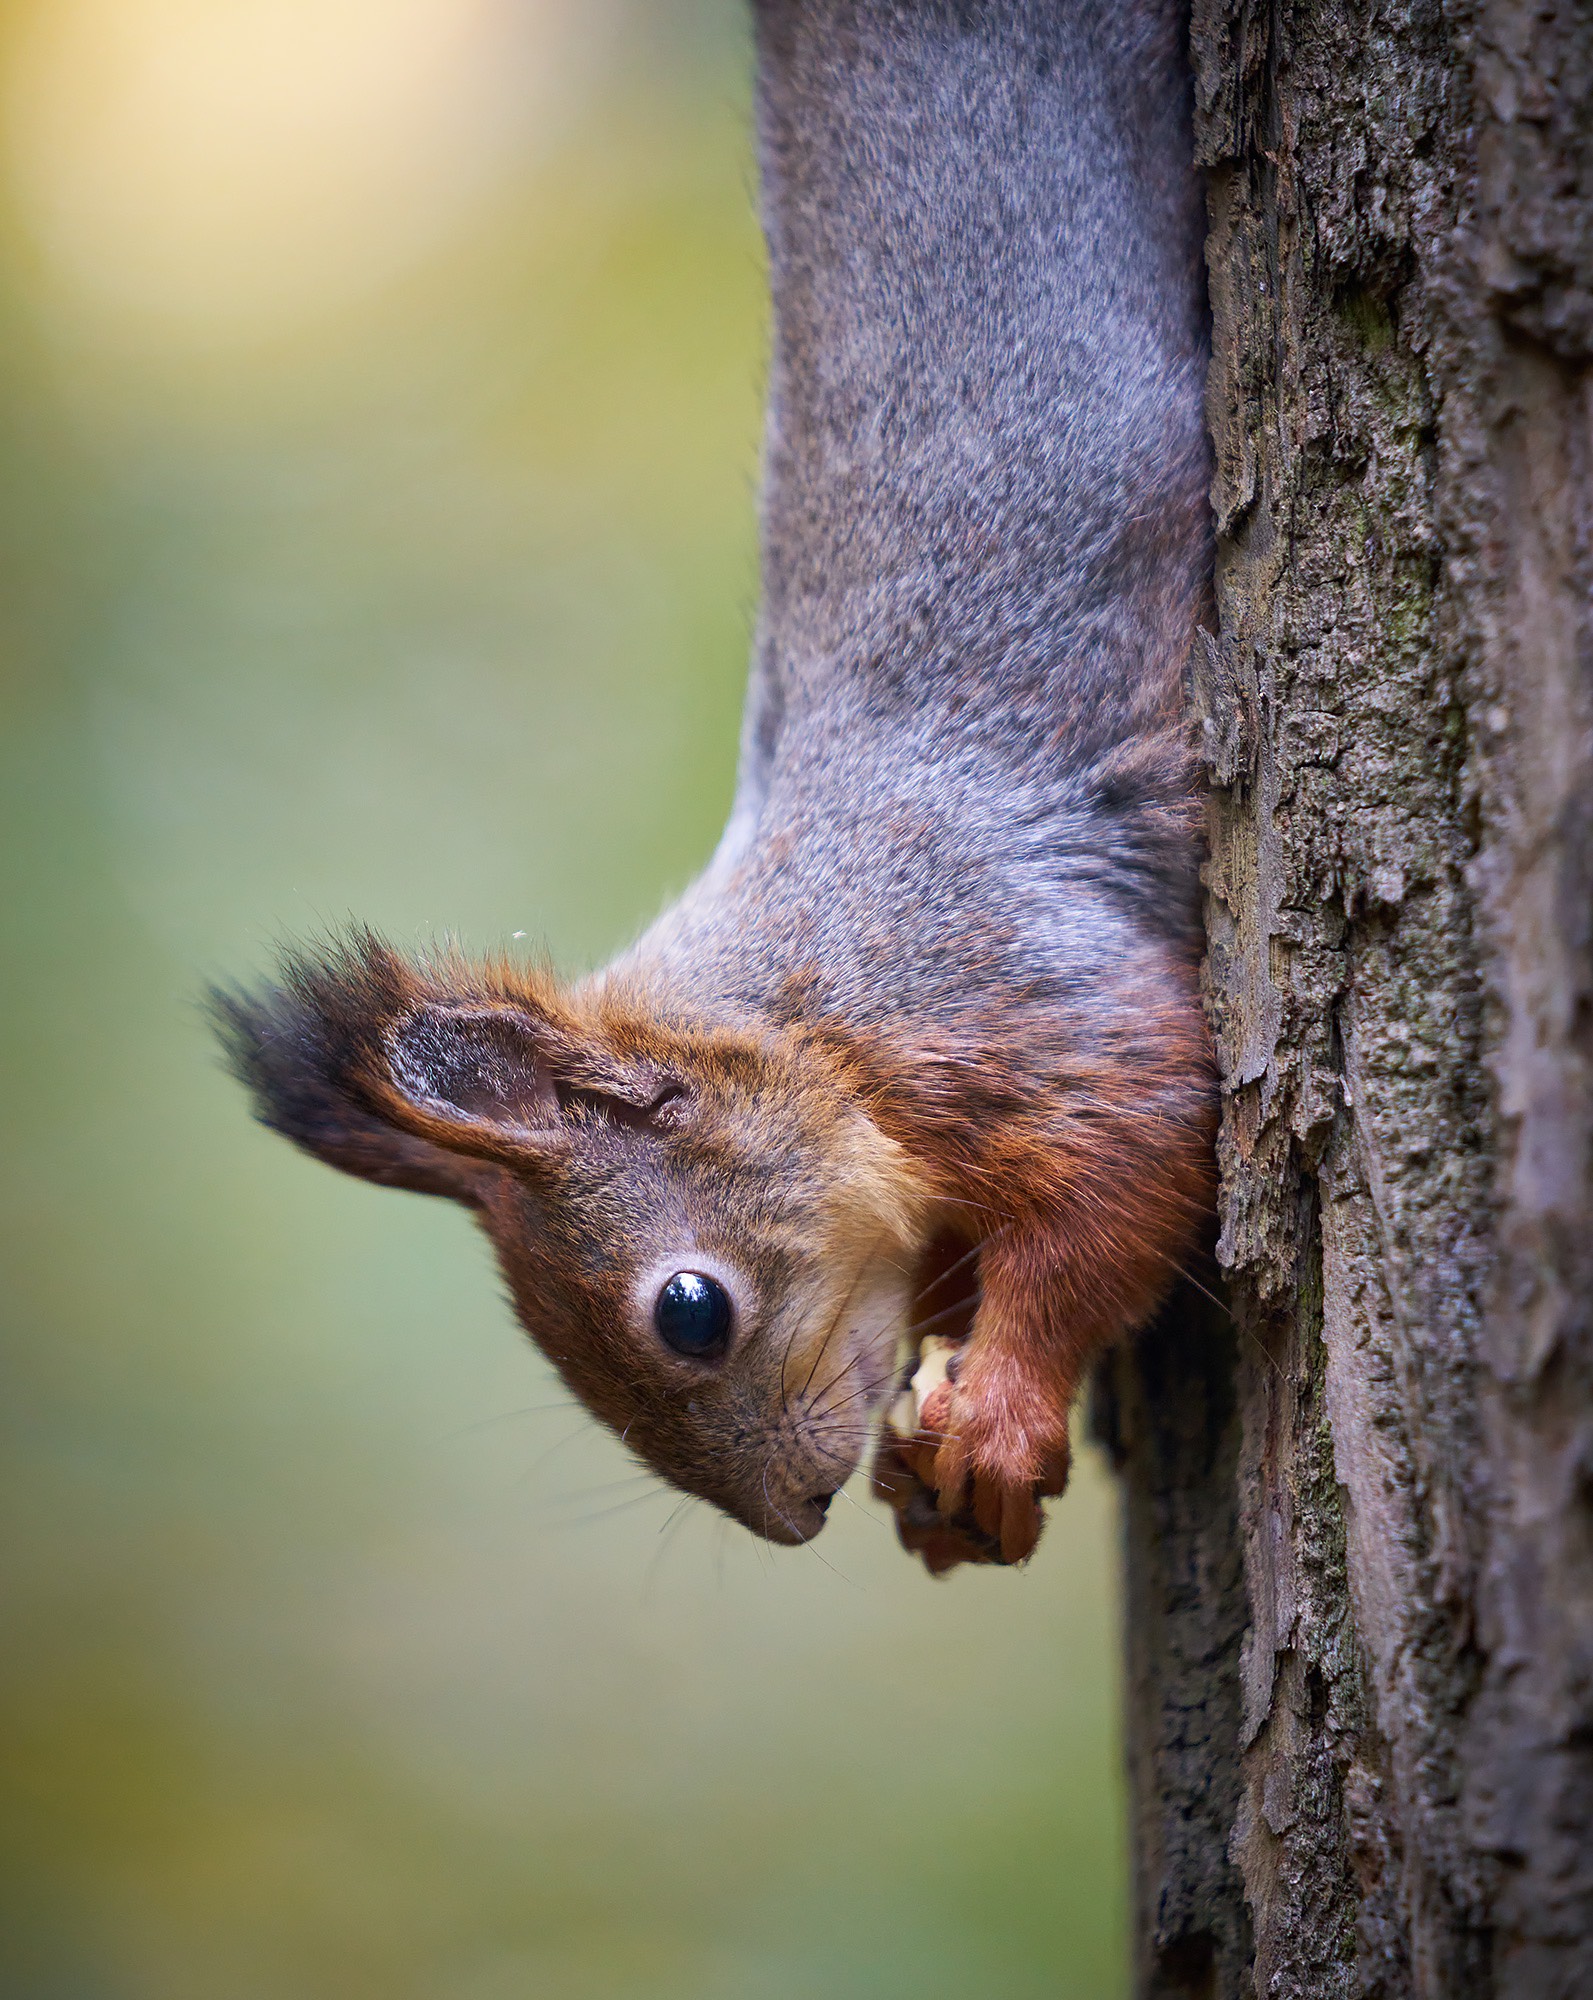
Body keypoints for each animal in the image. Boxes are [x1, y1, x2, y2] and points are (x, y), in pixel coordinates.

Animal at [208, 0, 1208, 1576]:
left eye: (690, 1310)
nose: (794, 1520)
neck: (801, 1020)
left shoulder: (1001, 988)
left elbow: (1132, 1164)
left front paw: (996, 1408)